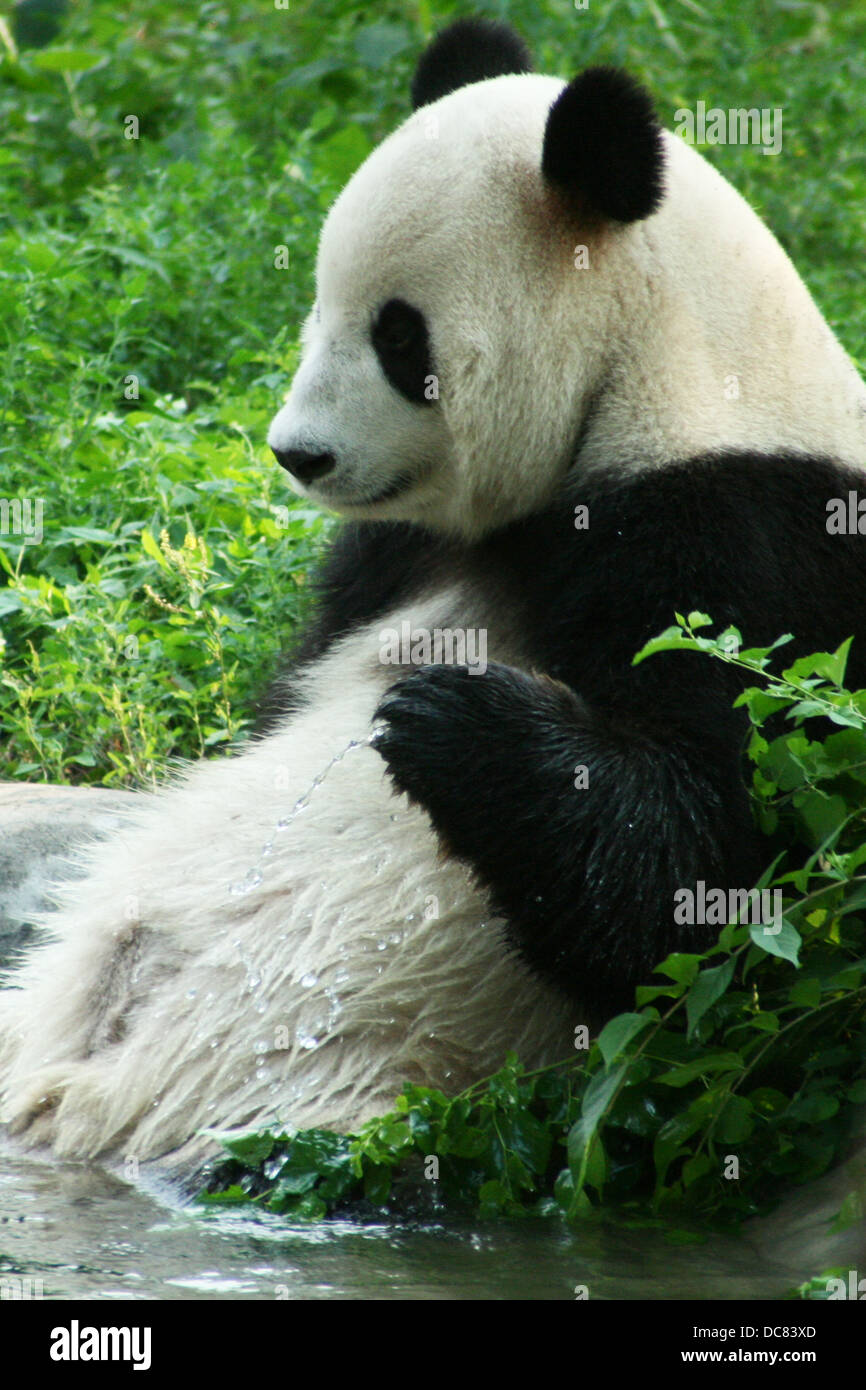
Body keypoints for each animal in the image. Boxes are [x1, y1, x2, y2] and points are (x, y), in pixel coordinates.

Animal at [2, 17, 866, 1180]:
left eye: (398, 336)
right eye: (316, 308)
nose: (298, 454)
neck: (663, 369)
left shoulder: (755, 539)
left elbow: (710, 879)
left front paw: (453, 720)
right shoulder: (397, 549)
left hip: (341, 1114)